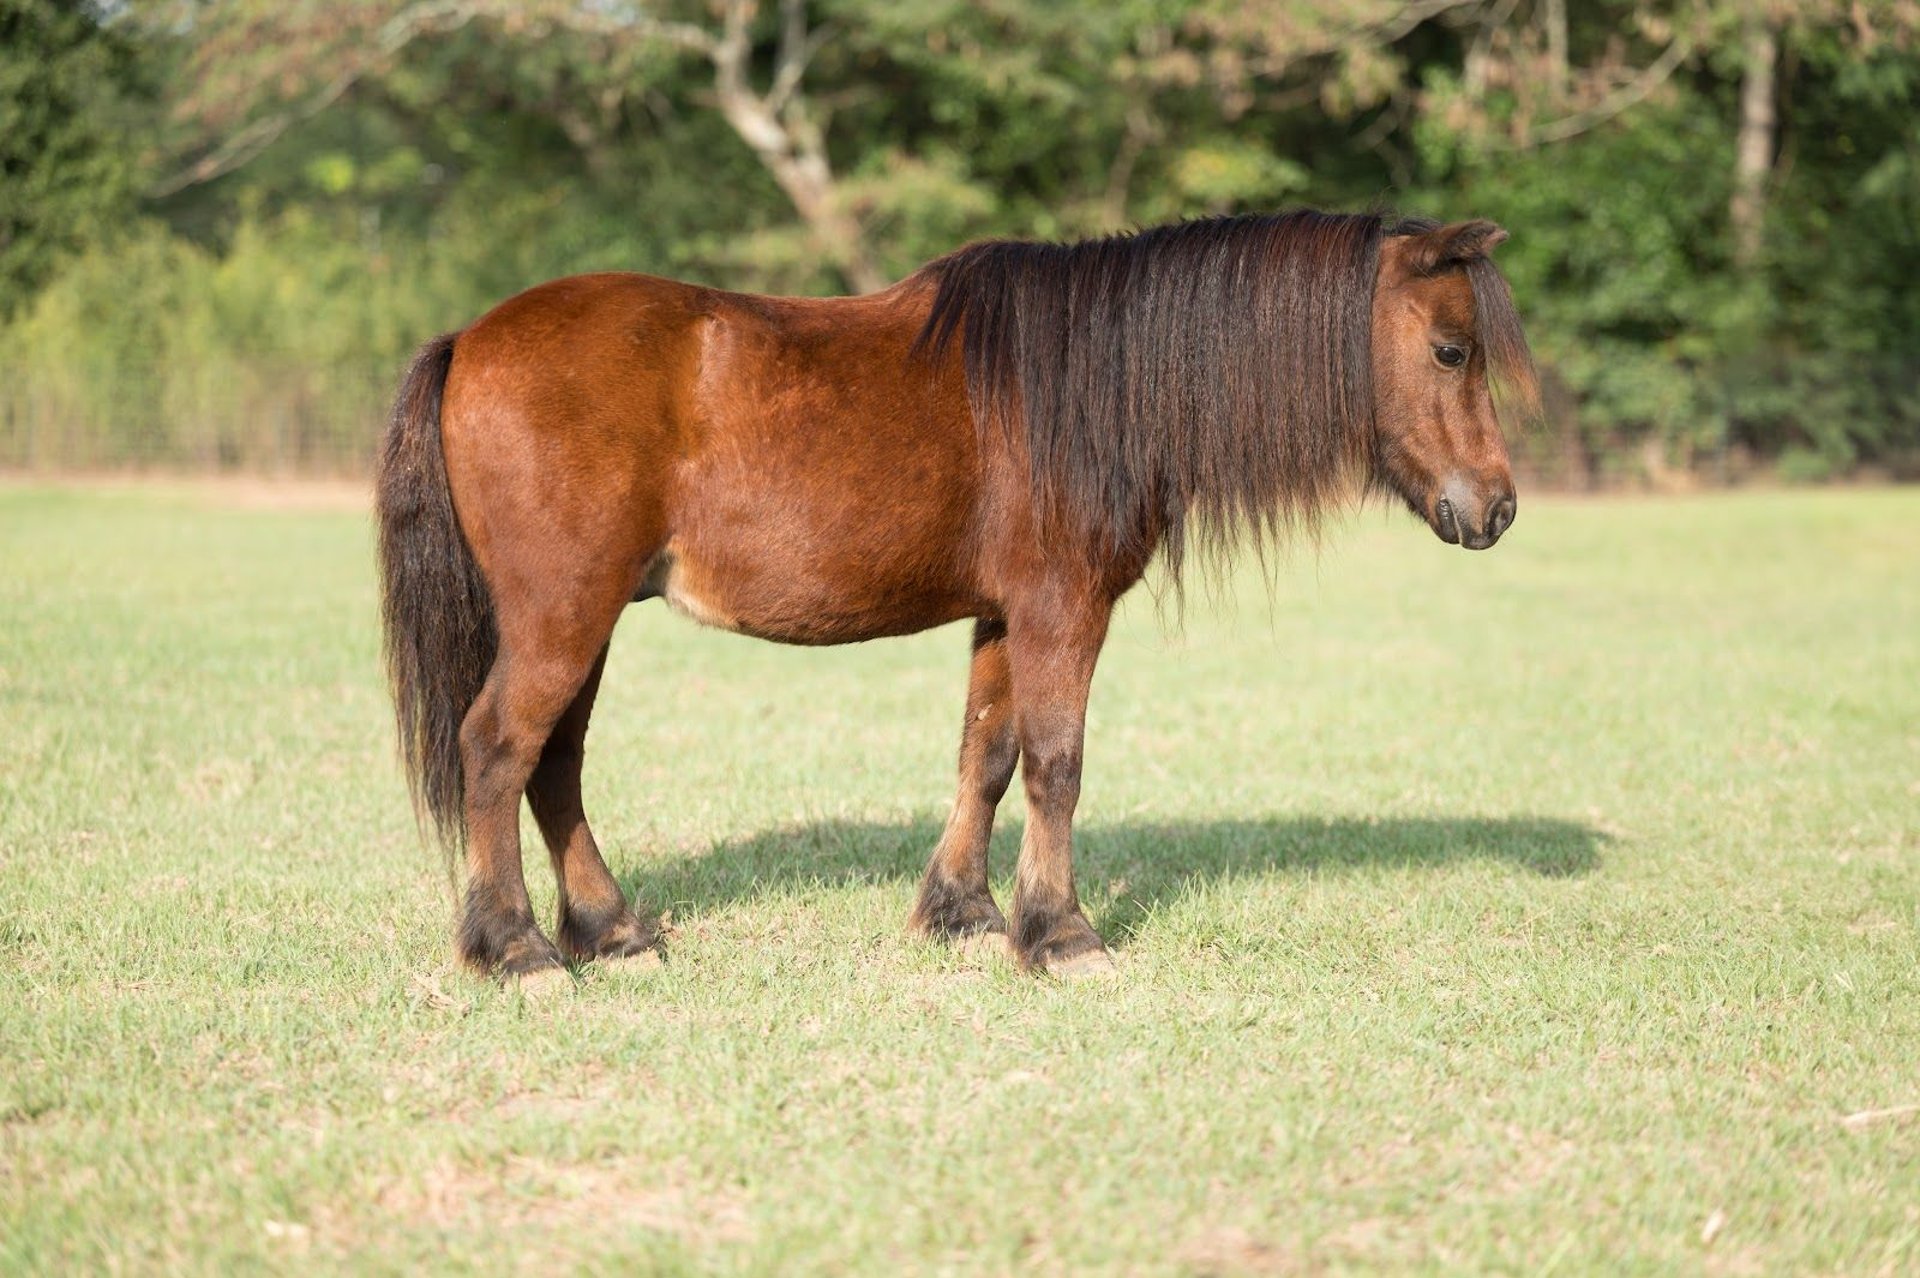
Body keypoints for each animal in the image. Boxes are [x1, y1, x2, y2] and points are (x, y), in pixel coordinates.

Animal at [375, 209, 1538, 982]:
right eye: (1450, 349)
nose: (1496, 508)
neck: (1088, 384)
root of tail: (470, 340)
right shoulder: (1064, 609)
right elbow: (1058, 764)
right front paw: (1060, 934)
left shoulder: (1003, 615)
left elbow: (988, 754)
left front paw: (963, 910)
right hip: (563, 617)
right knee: (498, 750)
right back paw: (518, 948)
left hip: (586, 621)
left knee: (554, 765)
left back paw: (610, 931)